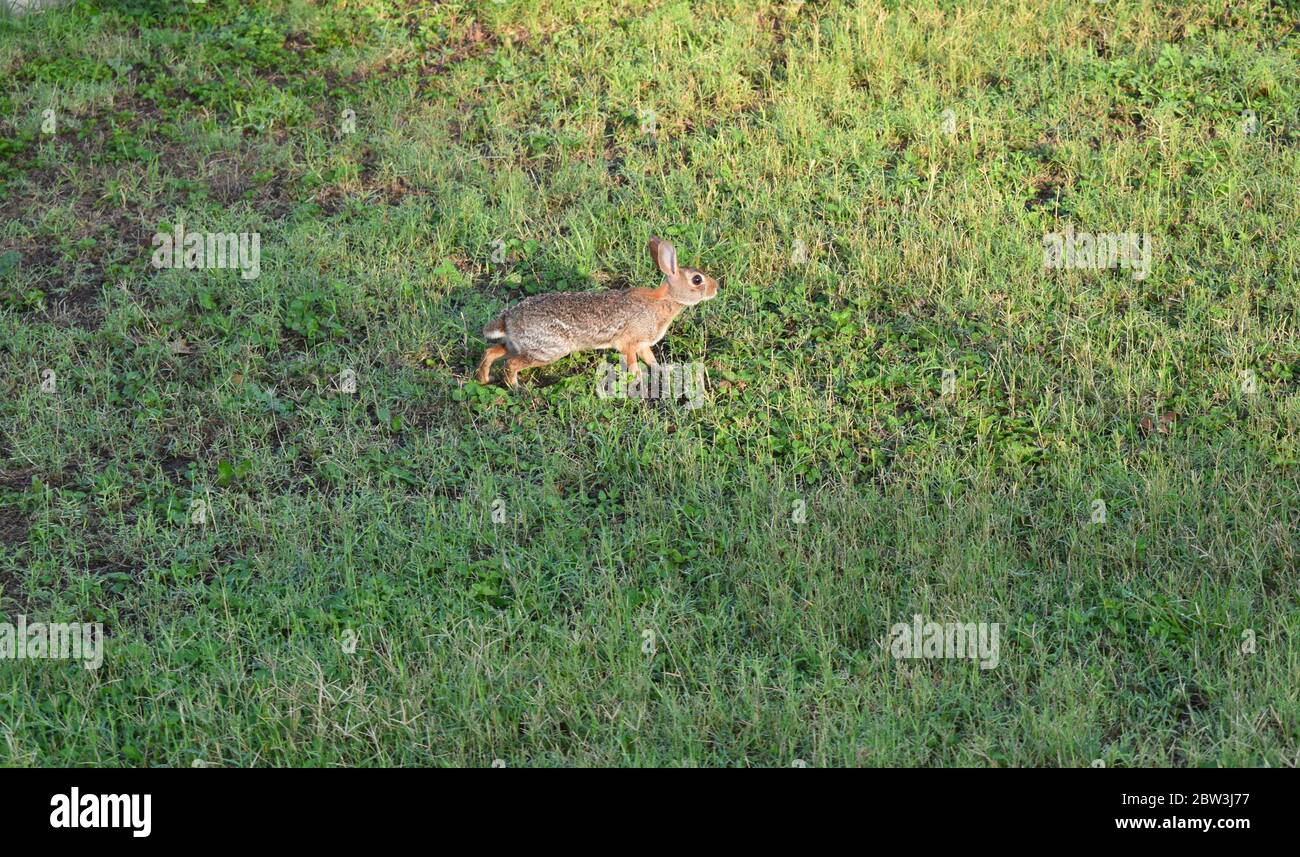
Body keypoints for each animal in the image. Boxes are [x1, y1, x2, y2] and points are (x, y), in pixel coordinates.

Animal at [476, 236, 719, 388]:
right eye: (697, 280)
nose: (716, 289)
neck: (664, 301)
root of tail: (507, 320)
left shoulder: (642, 345)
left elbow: (650, 360)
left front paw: (660, 372)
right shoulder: (629, 344)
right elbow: (633, 365)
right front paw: (638, 382)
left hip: (516, 344)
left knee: (491, 353)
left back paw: (485, 379)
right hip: (548, 350)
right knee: (511, 364)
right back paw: (518, 389)